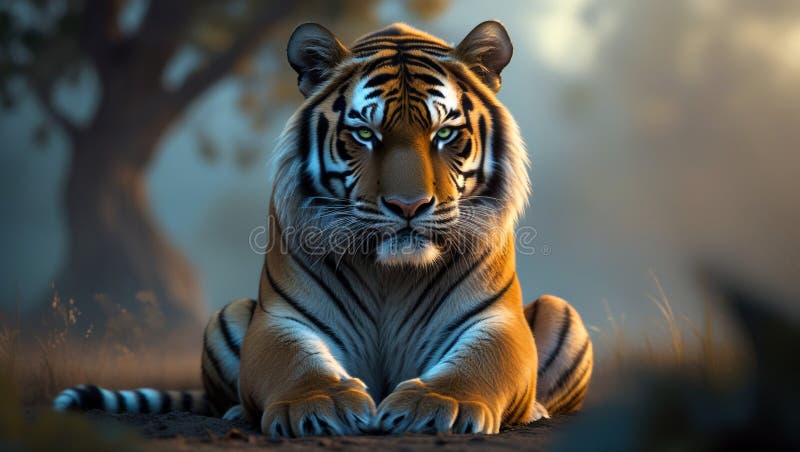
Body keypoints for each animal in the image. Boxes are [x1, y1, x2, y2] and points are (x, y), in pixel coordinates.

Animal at [54, 21, 593, 436]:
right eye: (365, 134)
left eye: (444, 133)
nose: (409, 205)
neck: (391, 274)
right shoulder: (282, 319)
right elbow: (295, 361)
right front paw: (319, 405)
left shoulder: (495, 321)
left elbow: (476, 365)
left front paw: (439, 406)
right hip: (228, 315)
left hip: (560, 311)